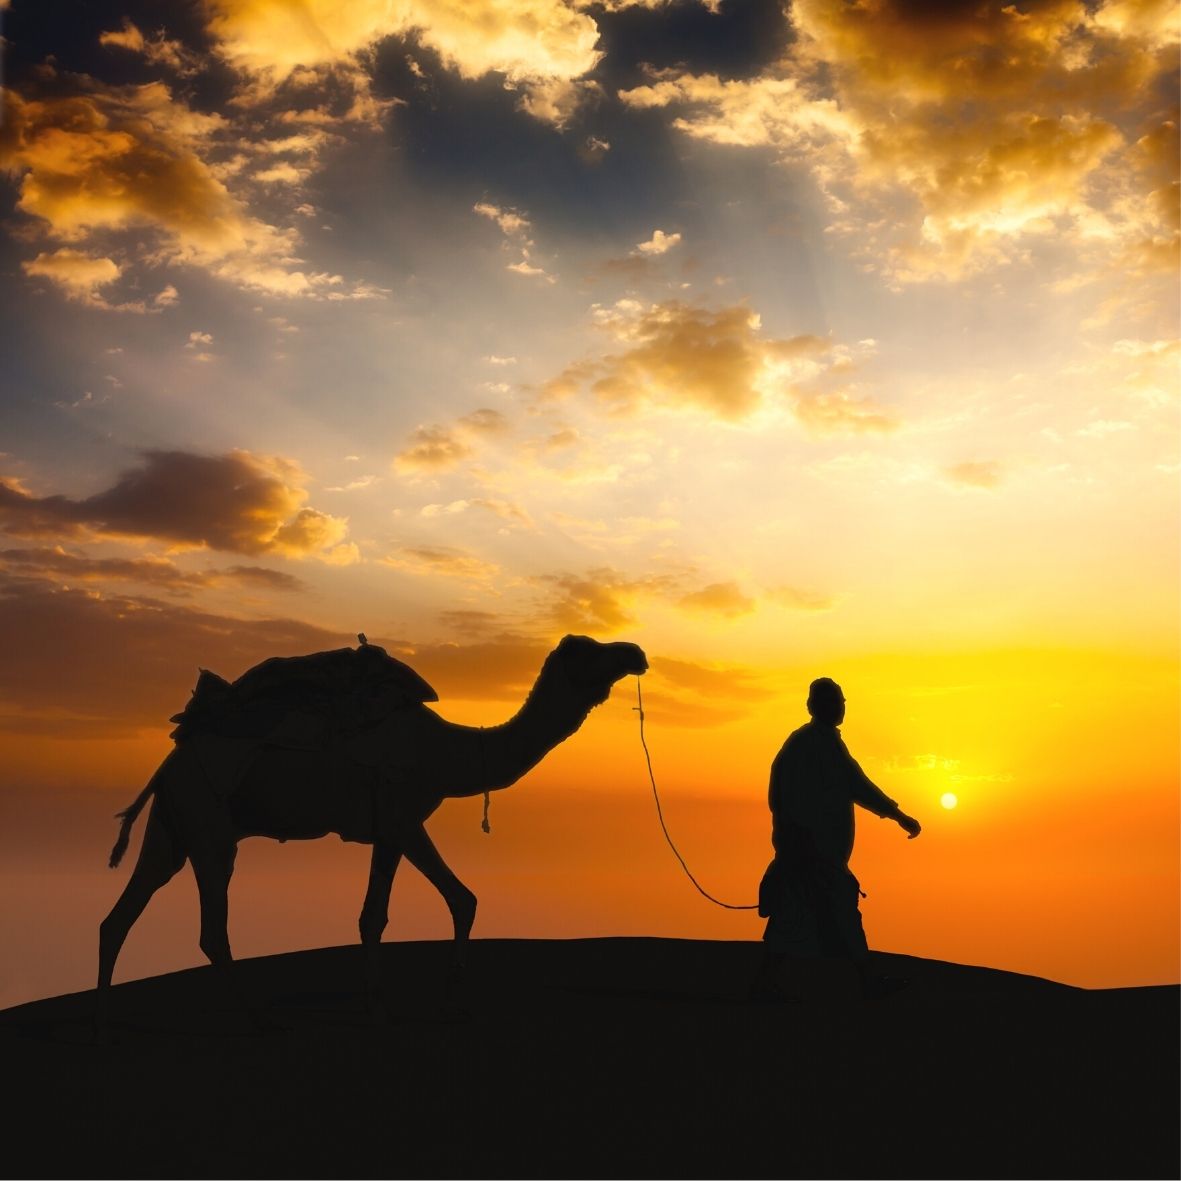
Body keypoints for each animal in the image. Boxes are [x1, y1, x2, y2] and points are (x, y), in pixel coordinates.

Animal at [98, 634, 647, 1019]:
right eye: (586, 649)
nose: (636, 652)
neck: (450, 752)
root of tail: (167, 766)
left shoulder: (407, 822)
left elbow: (462, 898)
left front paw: (453, 997)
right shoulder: (392, 817)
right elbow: (373, 917)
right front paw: (376, 1005)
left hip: (172, 830)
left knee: (118, 918)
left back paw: (104, 1019)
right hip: (208, 825)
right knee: (211, 930)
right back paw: (250, 1017)